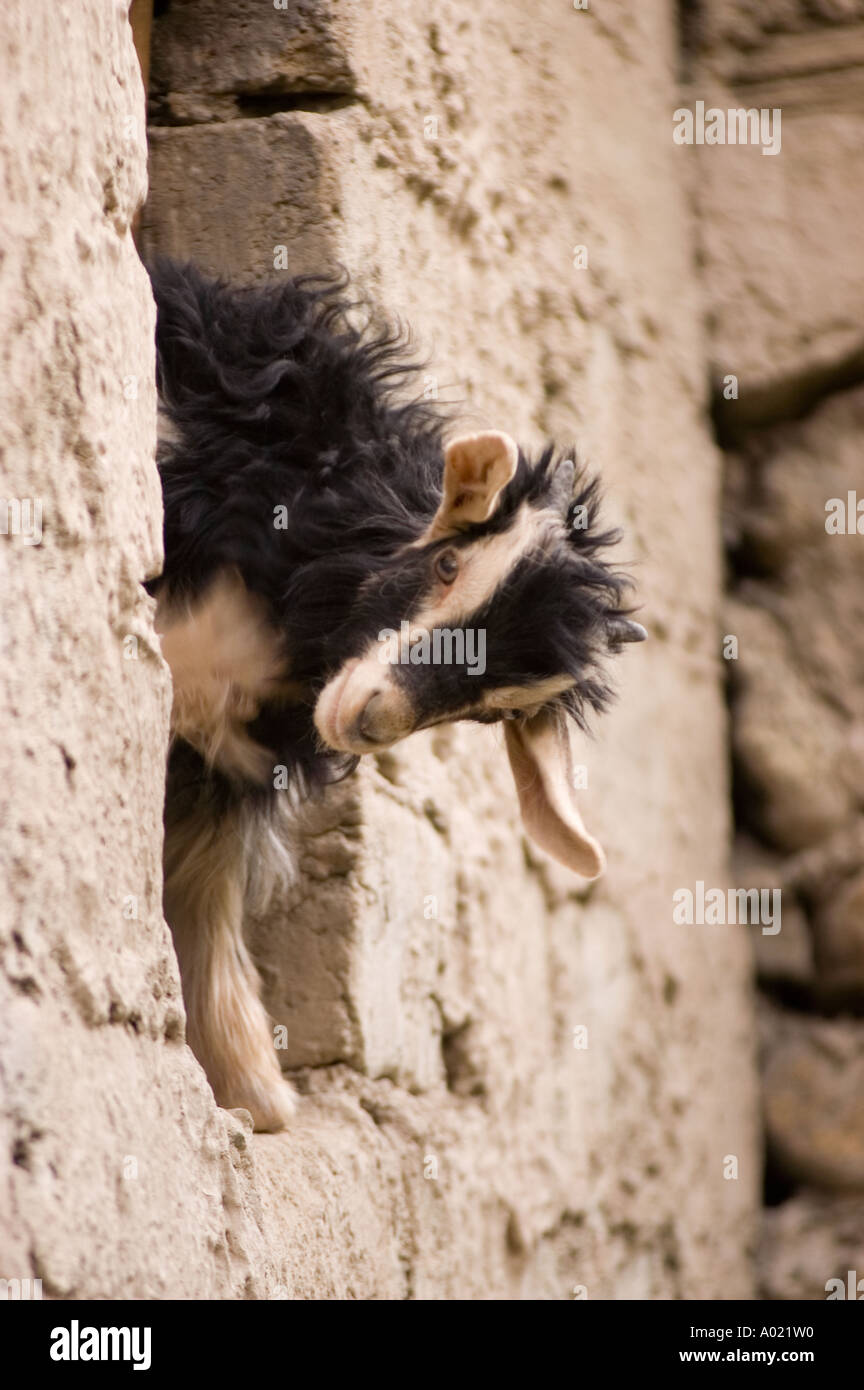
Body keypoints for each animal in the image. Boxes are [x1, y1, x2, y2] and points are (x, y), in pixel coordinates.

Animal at [148, 259, 645, 1131]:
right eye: (448, 566)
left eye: (499, 708)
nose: (370, 719)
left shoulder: (239, 767)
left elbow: (206, 883)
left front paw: (256, 1095)